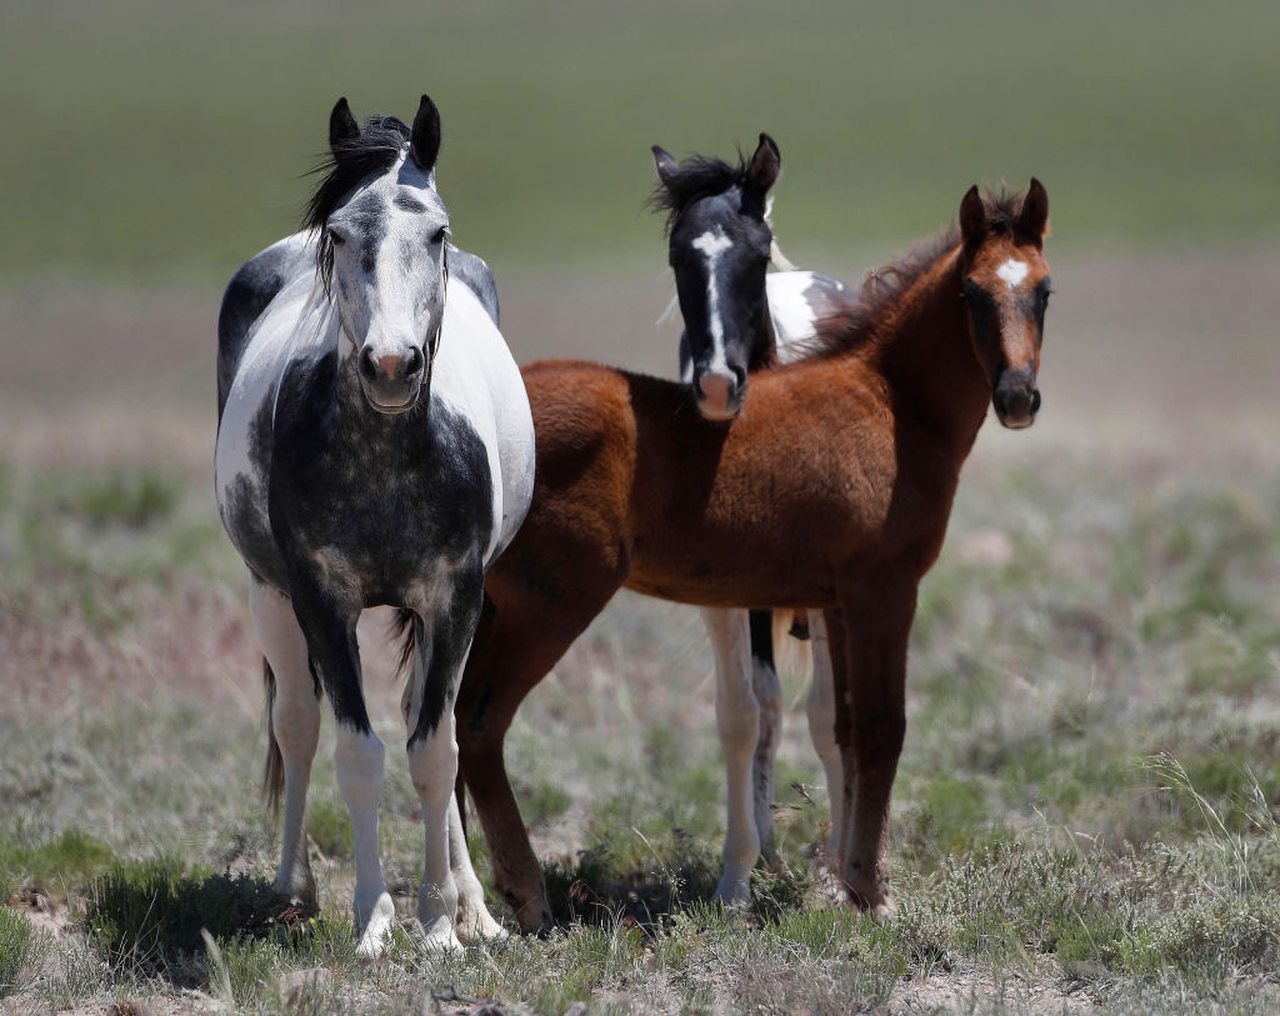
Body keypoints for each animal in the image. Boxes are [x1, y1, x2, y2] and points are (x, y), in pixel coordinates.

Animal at [215, 94, 536, 956]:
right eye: (340, 234)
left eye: (437, 234)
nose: (391, 367)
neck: (389, 460)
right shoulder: (322, 600)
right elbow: (358, 751)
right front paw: (374, 918)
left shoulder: (455, 598)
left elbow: (436, 753)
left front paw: (442, 920)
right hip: (267, 596)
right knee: (296, 725)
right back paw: (292, 890)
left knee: (436, 727)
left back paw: (476, 909)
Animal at [453, 179, 1051, 931]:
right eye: (971, 293)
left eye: (1044, 291)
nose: (1018, 396)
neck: (887, 401)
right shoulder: (885, 591)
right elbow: (883, 727)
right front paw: (870, 891)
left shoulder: (837, 605)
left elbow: (843, 729)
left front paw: (844, 877)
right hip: (550, 603)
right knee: (478, 724)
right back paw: (523, 896)